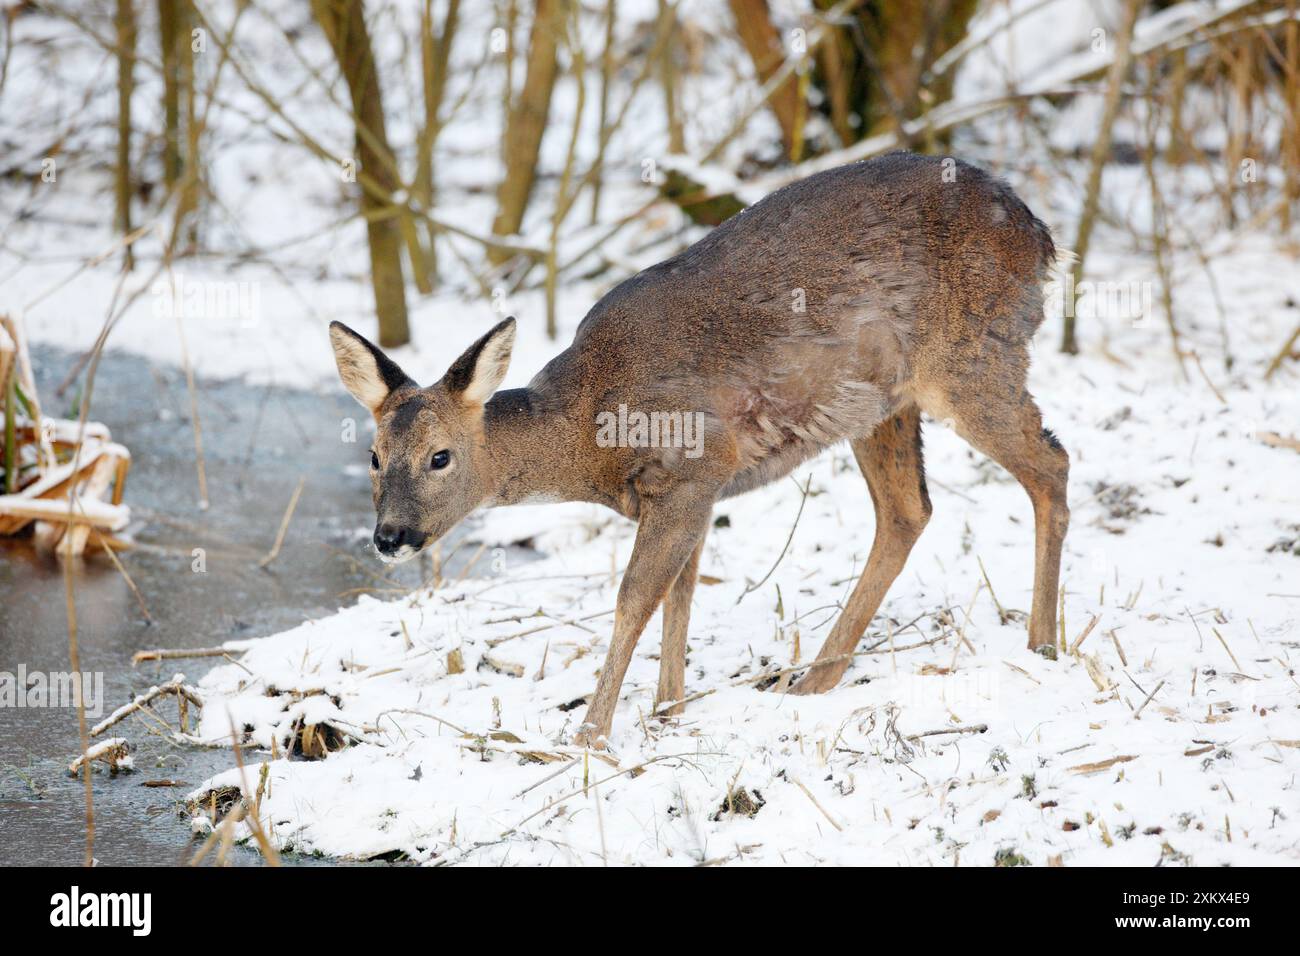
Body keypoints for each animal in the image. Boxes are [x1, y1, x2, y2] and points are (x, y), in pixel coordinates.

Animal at [329, 151, 1070, 750]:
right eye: (373, 457)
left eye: (441, 456)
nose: (390, 536)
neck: (591, 433)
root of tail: (1042, 236)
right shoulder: (689, 491)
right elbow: (679, 597)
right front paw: (668, 713)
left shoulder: (693, 466)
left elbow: (634, 599)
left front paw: (589, 736)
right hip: (882, 403)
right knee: (908, 510)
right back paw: (812, 682)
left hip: (972, 357)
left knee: (1051, 463)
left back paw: (1042, 645)